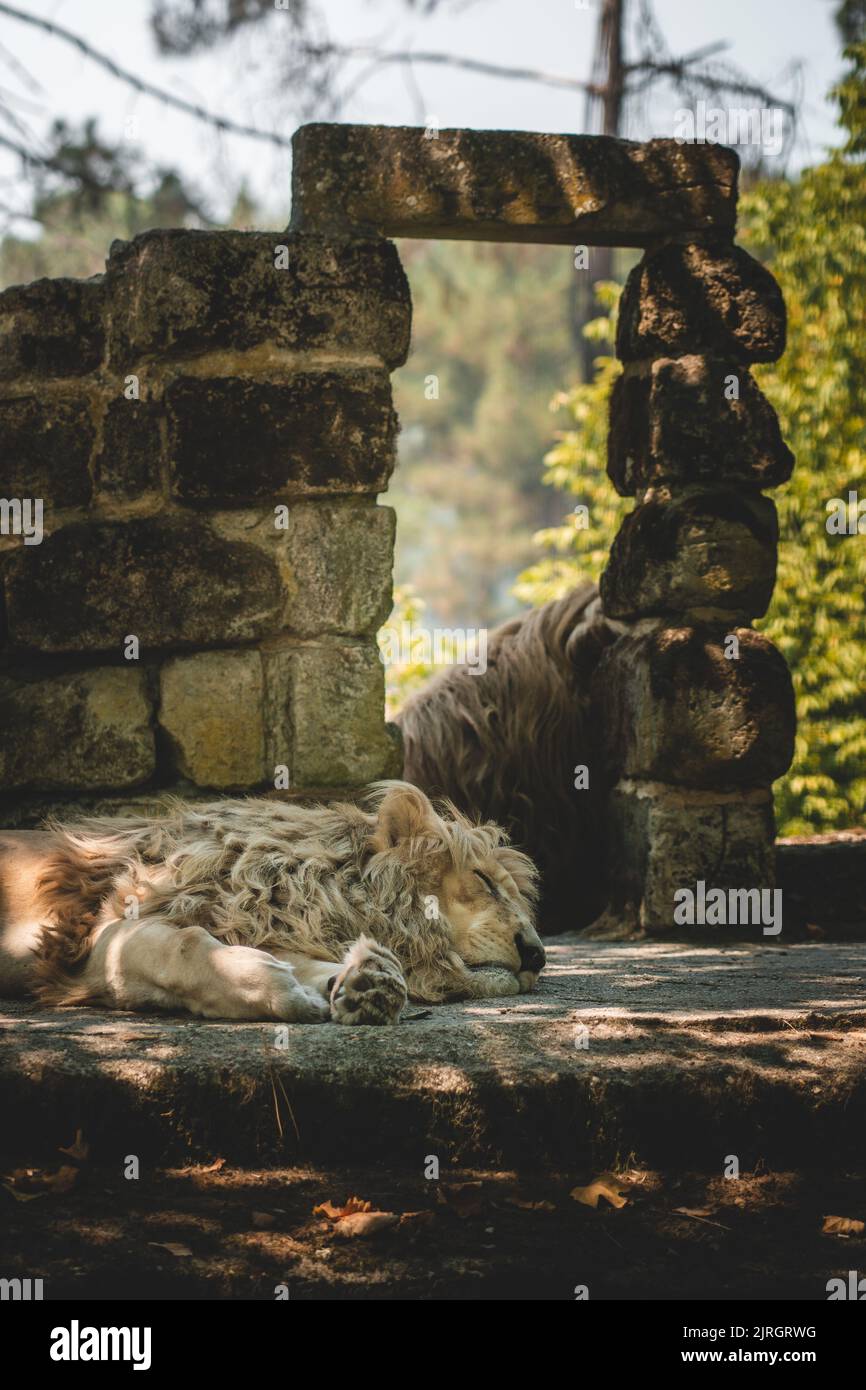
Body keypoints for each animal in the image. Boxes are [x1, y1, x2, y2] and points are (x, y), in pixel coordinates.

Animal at [0, 782, 545, 1025]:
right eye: (484, 881)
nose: (539, 955)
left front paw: (366, 981)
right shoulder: (91, 937)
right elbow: (184, 946)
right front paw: (273, 987)